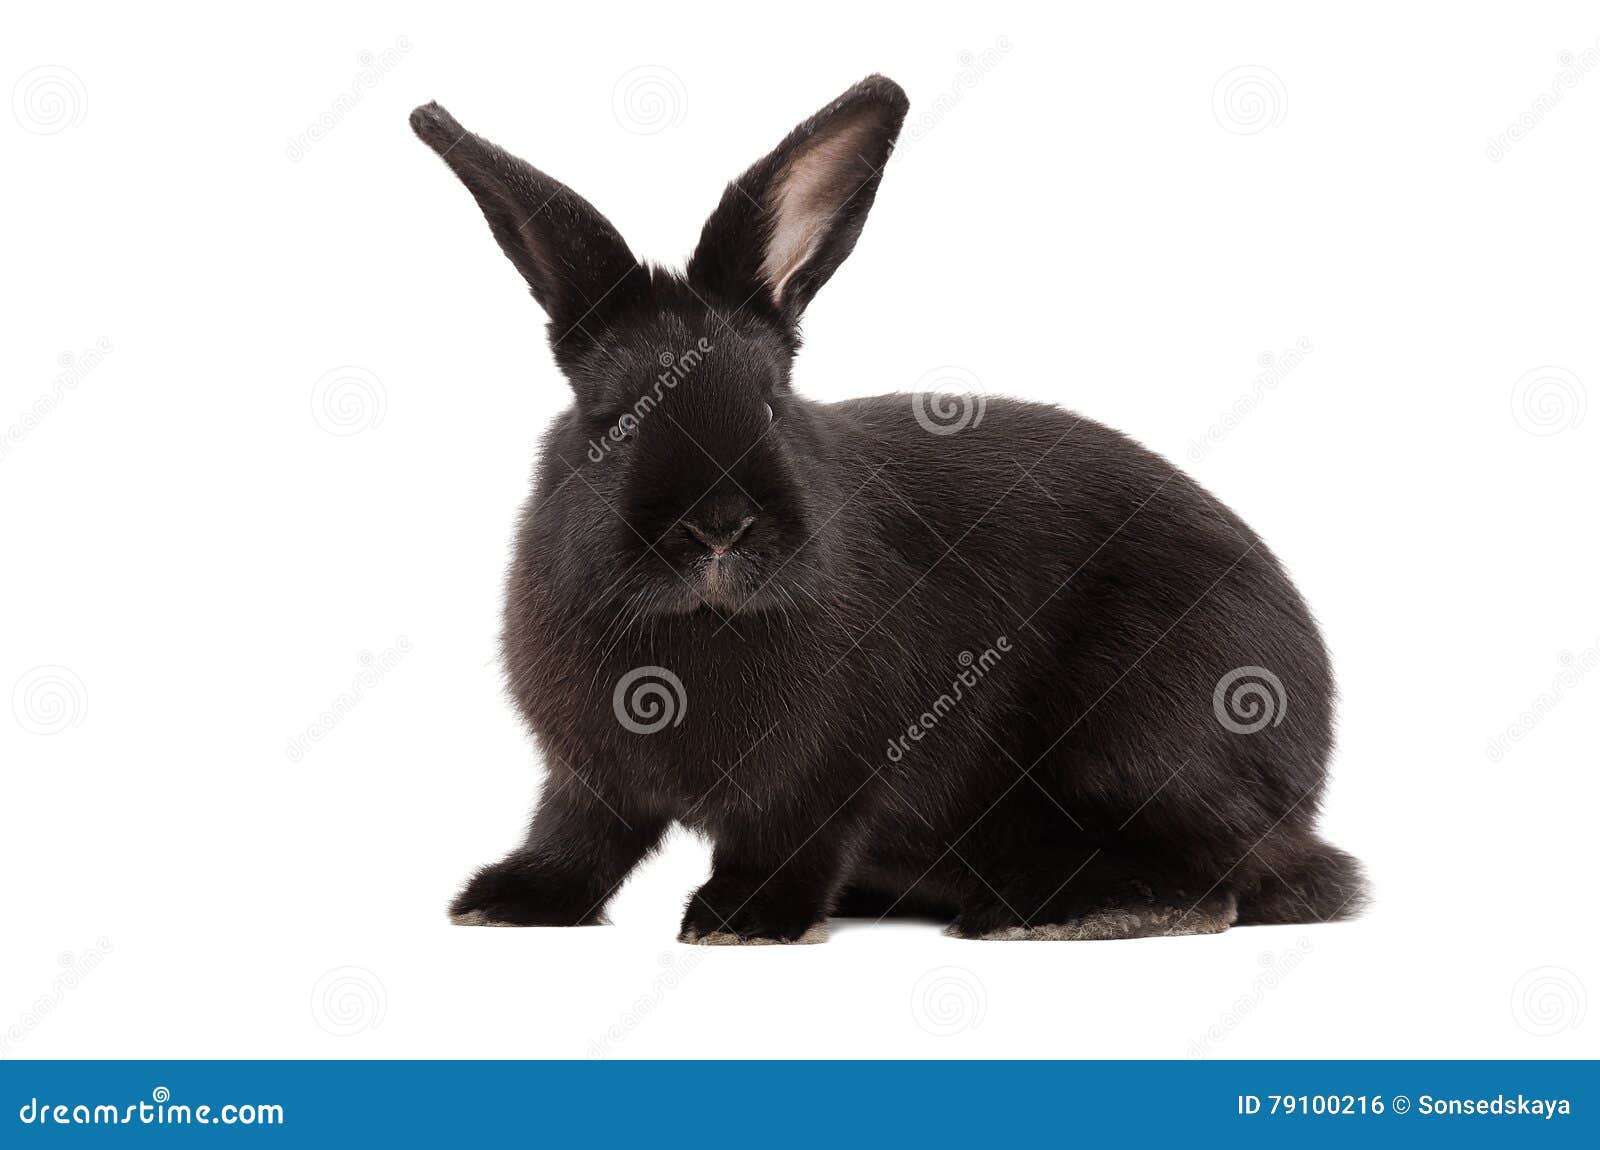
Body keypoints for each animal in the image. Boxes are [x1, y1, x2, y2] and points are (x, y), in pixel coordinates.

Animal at [410, 74, 1366, 944]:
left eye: (770, 407)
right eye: (613, 420)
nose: (719, 527)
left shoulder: (830, 779)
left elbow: (790, 843)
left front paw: (742, 920)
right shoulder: (588, 780)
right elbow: (578, 839)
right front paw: (504, 901)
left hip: (1151, 741)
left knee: (1225, 880)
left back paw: (1045, 912)